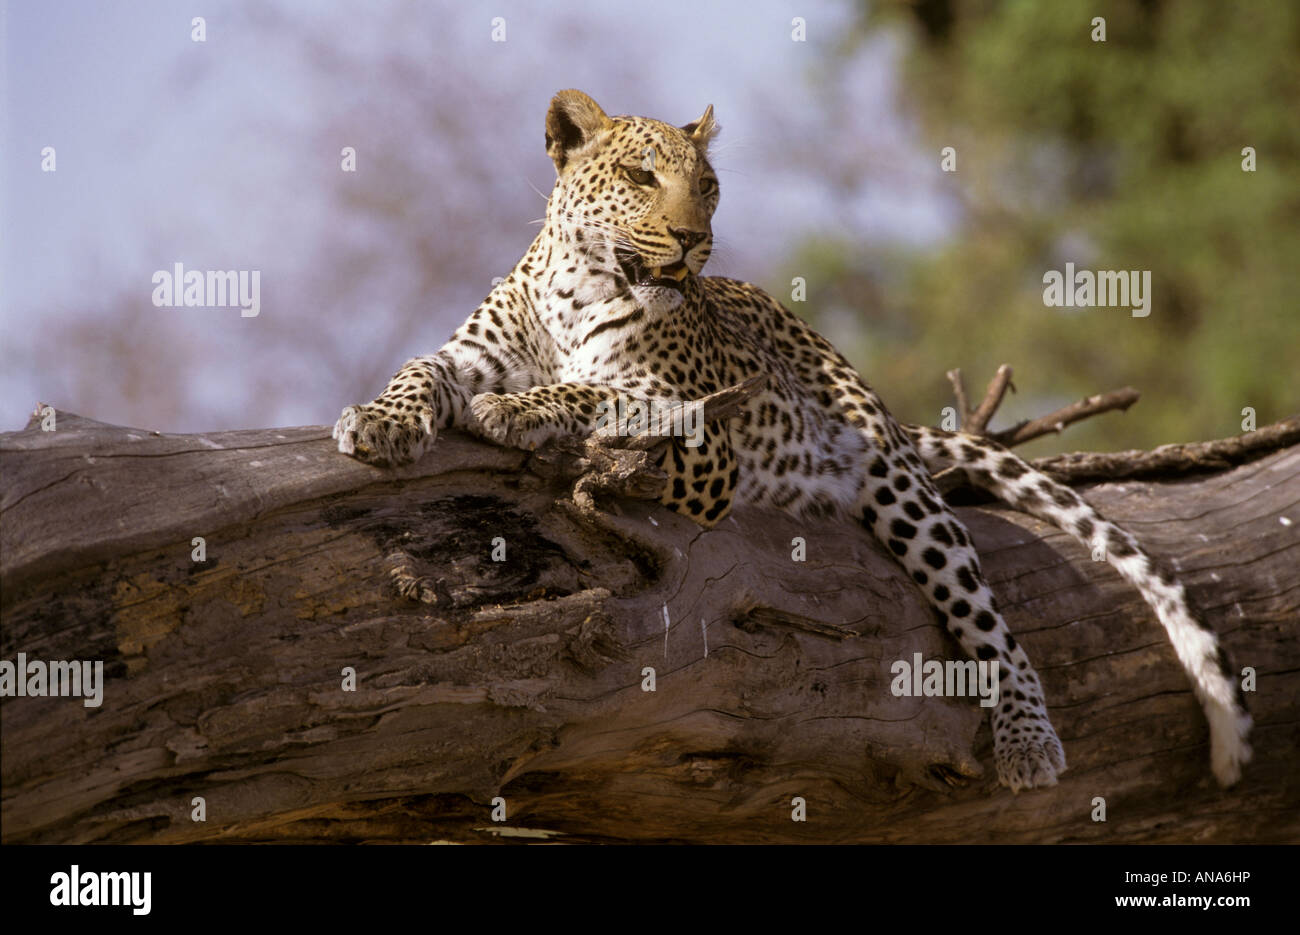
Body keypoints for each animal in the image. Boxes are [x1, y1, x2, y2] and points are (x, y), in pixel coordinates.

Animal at [333, 89, 1252, 793]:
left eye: (707, 185)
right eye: (640, 175)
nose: (693, 240)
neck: (578, 289)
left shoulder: (705, 438)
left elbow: (602, 391)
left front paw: (520, 409)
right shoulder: (469, 354)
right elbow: (420, 369)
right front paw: (378, 421)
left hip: (906, 500)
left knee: (995, 626)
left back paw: (1028, 740)